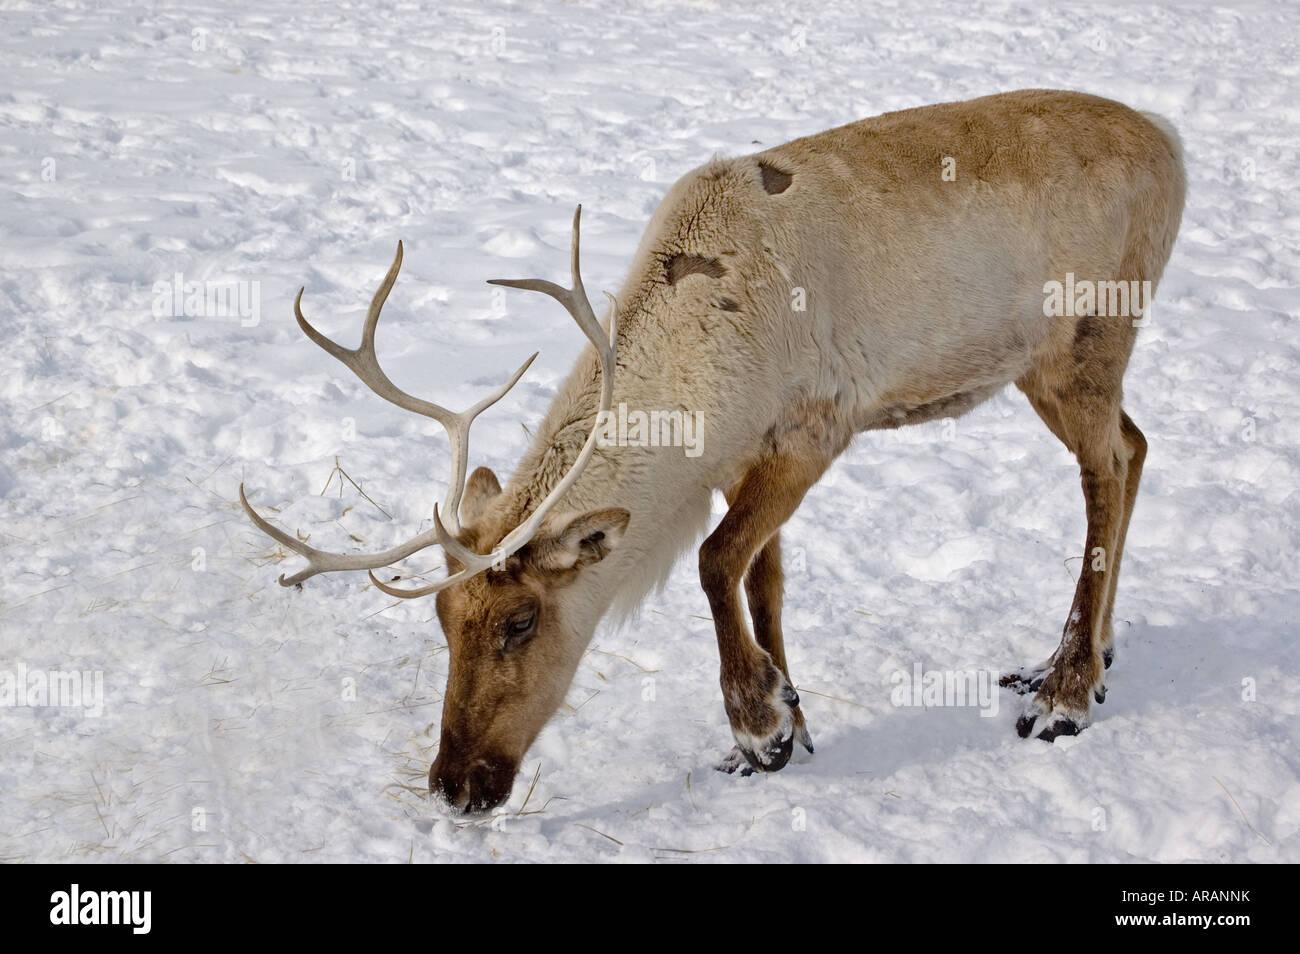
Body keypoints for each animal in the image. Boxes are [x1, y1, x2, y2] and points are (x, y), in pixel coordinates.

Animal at [241, 89, 1185, 813]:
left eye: (520, 621)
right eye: (443, 619)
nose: (454, 784)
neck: (712, 367)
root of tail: (1172, 145)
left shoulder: (814, 430)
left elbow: (712, 559)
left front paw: (758, 724)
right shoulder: (743, 456)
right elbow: (762, 578)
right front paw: (788, 718)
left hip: (1083, 343)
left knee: (1107, 471)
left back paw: (1064, 693)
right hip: (1055, 369)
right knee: (1137, 448)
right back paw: (1090, 660)